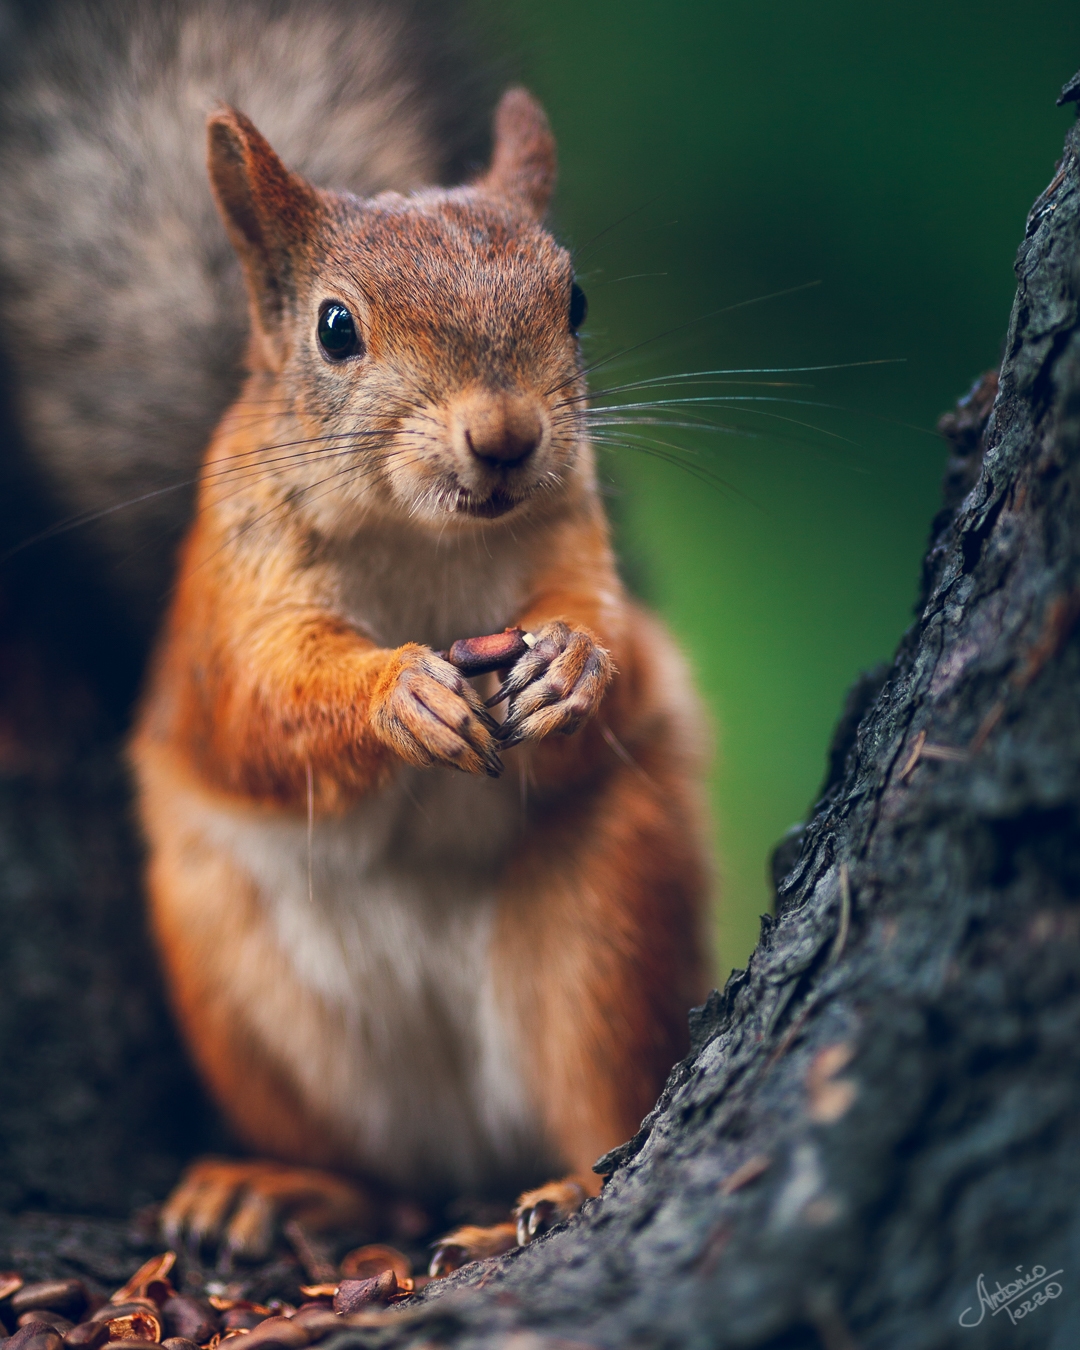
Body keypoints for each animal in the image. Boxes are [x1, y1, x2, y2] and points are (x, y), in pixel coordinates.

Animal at [2, 0, 712, 1272]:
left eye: (575, 301)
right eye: (336, 328)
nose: (505, 437)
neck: (424, 542)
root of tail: (461, 1140)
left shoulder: (582, 553)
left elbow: (618, 668)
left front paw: (575, 663)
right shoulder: (228, 602)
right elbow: (258, 705)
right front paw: (398, 697)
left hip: (605, 924)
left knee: (597, 1095)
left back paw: (561, 1184)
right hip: (246, 989)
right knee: (379, 1177)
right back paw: (290, 1191)